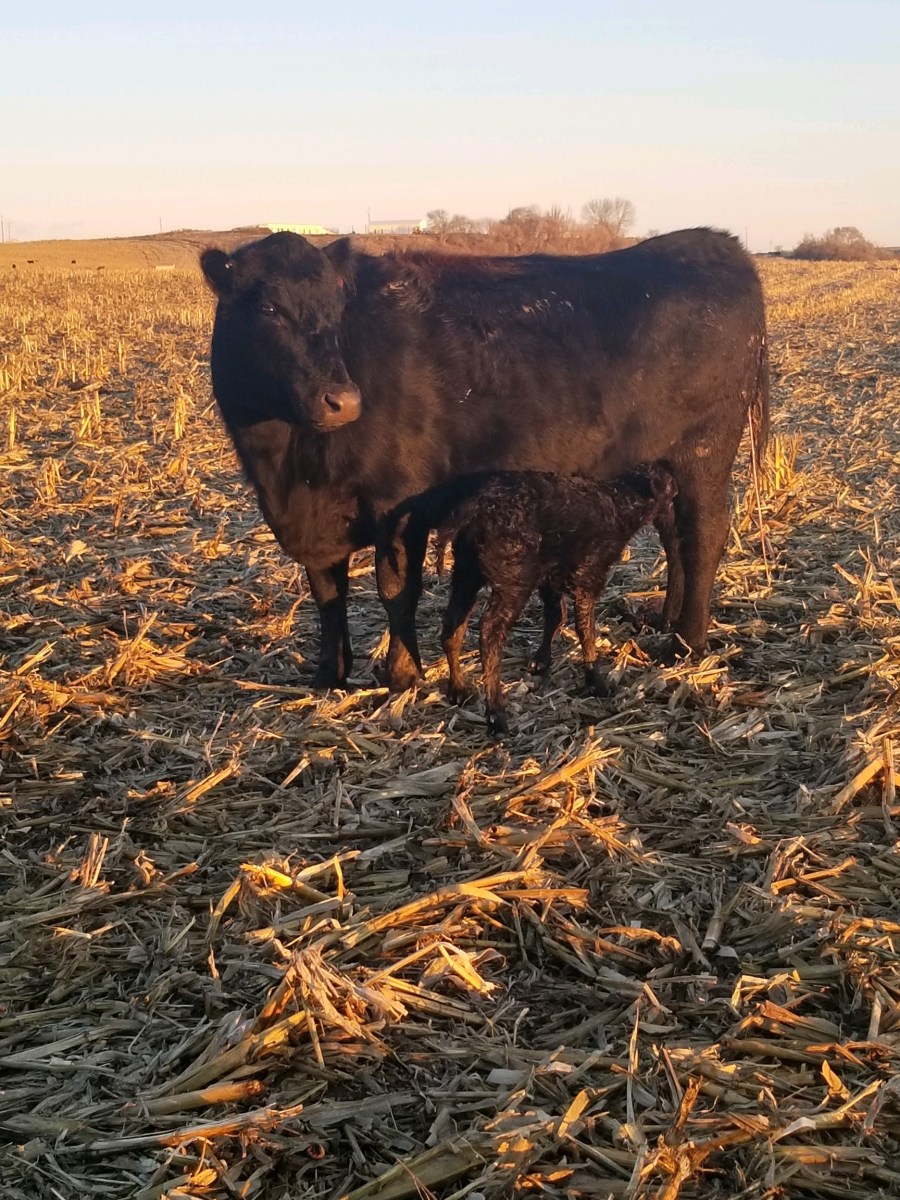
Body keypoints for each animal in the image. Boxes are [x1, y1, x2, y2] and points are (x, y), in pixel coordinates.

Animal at [200, 228, 768, 691]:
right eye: (267, 309)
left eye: (337, 308)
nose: (343, 400)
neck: (289, 469)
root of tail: (715, 243)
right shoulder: (316, 524)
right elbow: (327, 594)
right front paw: (329, 675)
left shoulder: (397, 504)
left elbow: (395, 590)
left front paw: (403, 675)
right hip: (663, 465)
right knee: (675, 535)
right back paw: (664, 620)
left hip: (704, 455)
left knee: (703, 536)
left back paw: (686, 643)